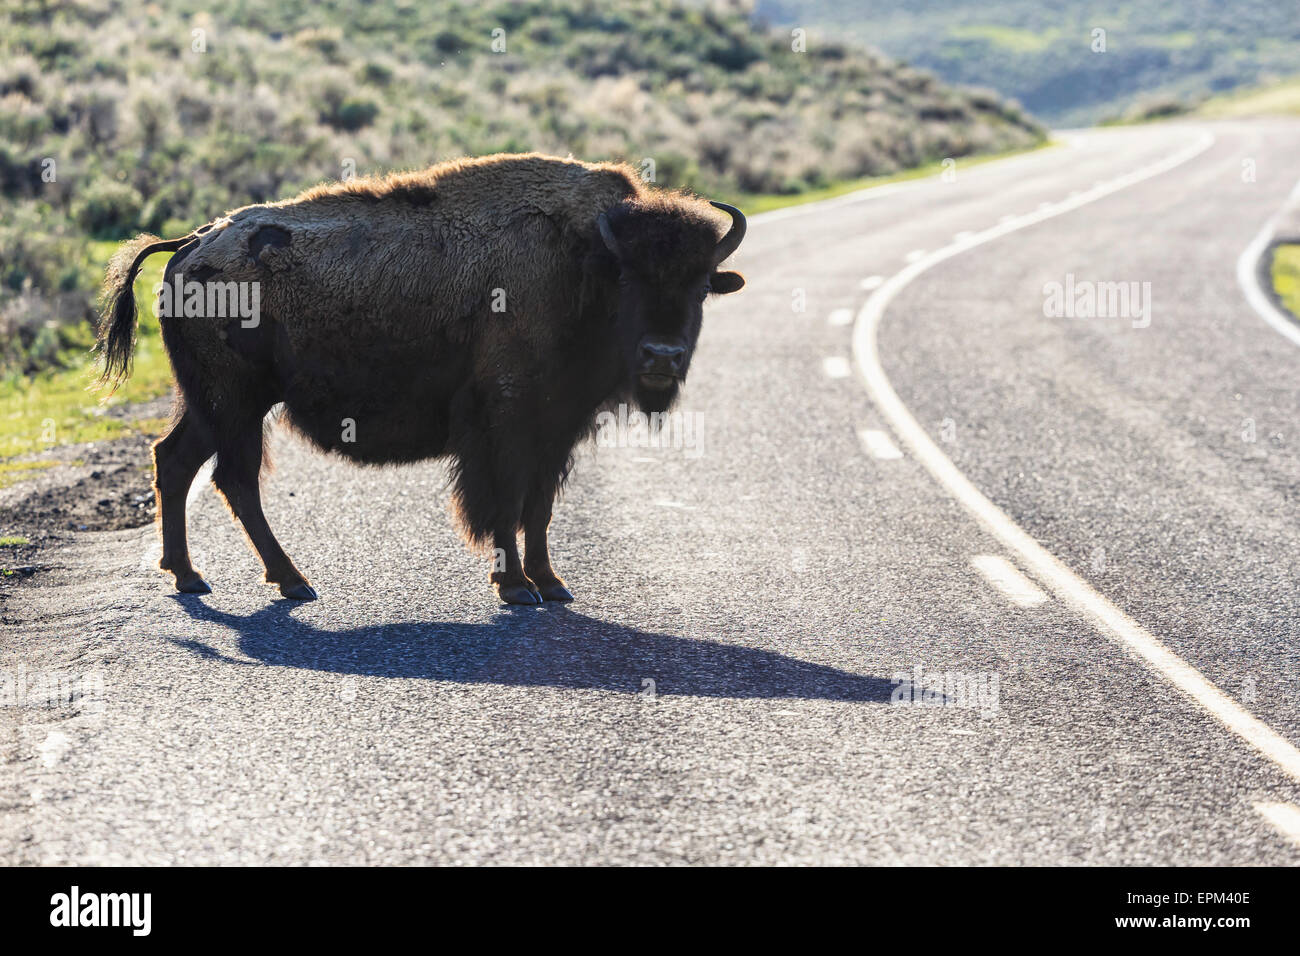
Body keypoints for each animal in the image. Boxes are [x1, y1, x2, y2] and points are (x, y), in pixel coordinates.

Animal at [97, 153, 746, 604]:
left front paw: (552, 584)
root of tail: (191, 244)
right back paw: (293, 582)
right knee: (234, 479)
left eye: (700, 286)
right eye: (630, 279)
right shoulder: (506, 420)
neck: (585, 258)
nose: (662, 356)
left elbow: (538, 506)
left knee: (176, 461)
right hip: (236, 403)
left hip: (211, 404)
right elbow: (506, 501)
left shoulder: (558, 428)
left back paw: (190, 577)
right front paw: (516, 588)